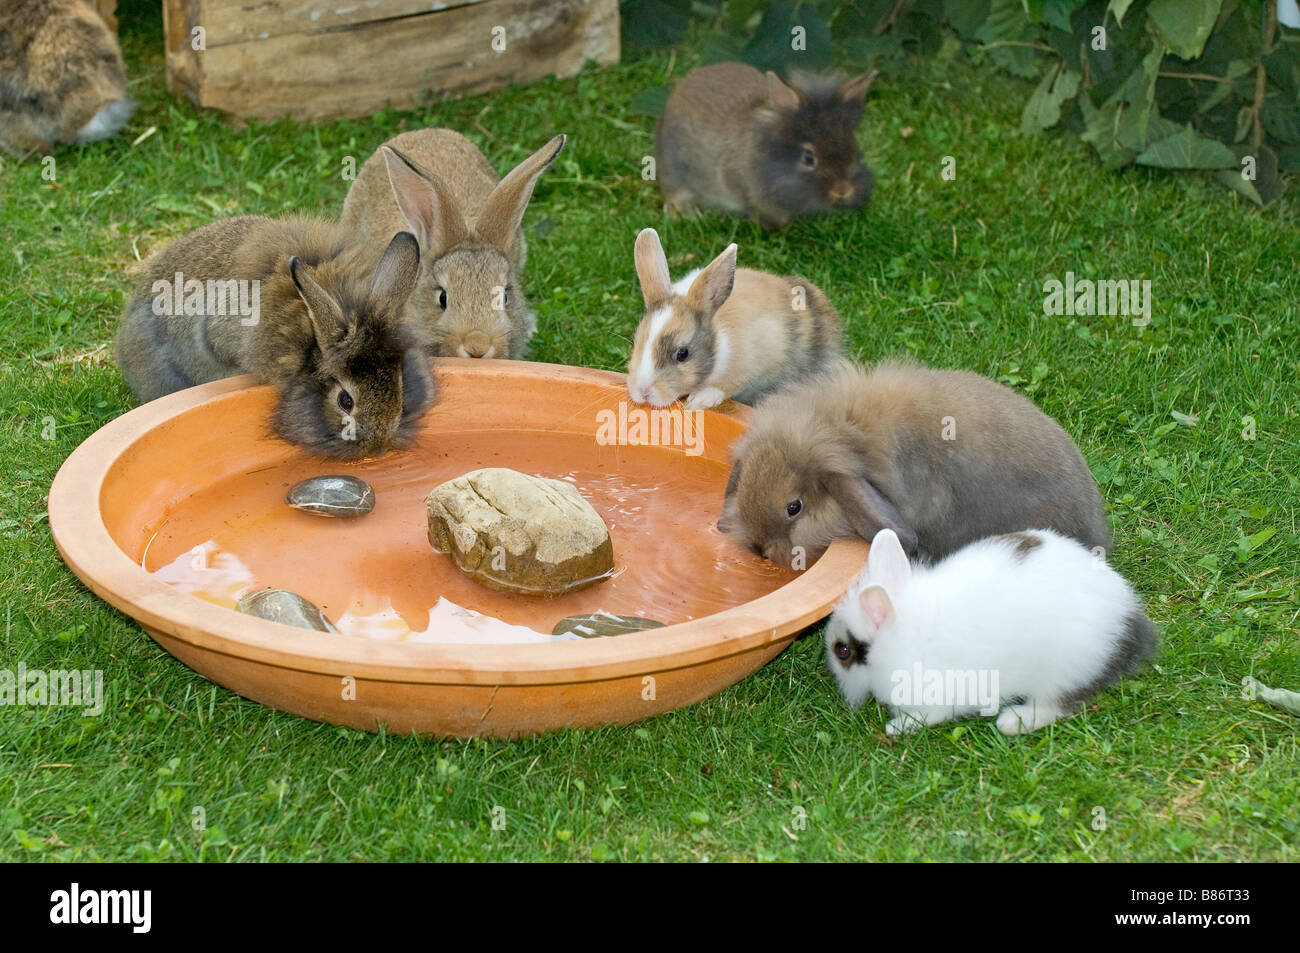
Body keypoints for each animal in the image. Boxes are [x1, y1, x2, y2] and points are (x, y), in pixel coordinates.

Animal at [626, 228, 842, 410]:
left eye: (682, 354)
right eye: (635, 342)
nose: (643, 392)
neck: (719, 341)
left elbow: (728, 385)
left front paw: (700, 400)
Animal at [825, 527, 1158, 735]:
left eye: (842, 650)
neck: (896, 639)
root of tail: (1127, 617)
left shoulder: (932, 699)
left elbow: (928, 717)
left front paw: (897, 728)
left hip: (1062, 674)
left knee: (1054, 707)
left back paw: (1012, 722)